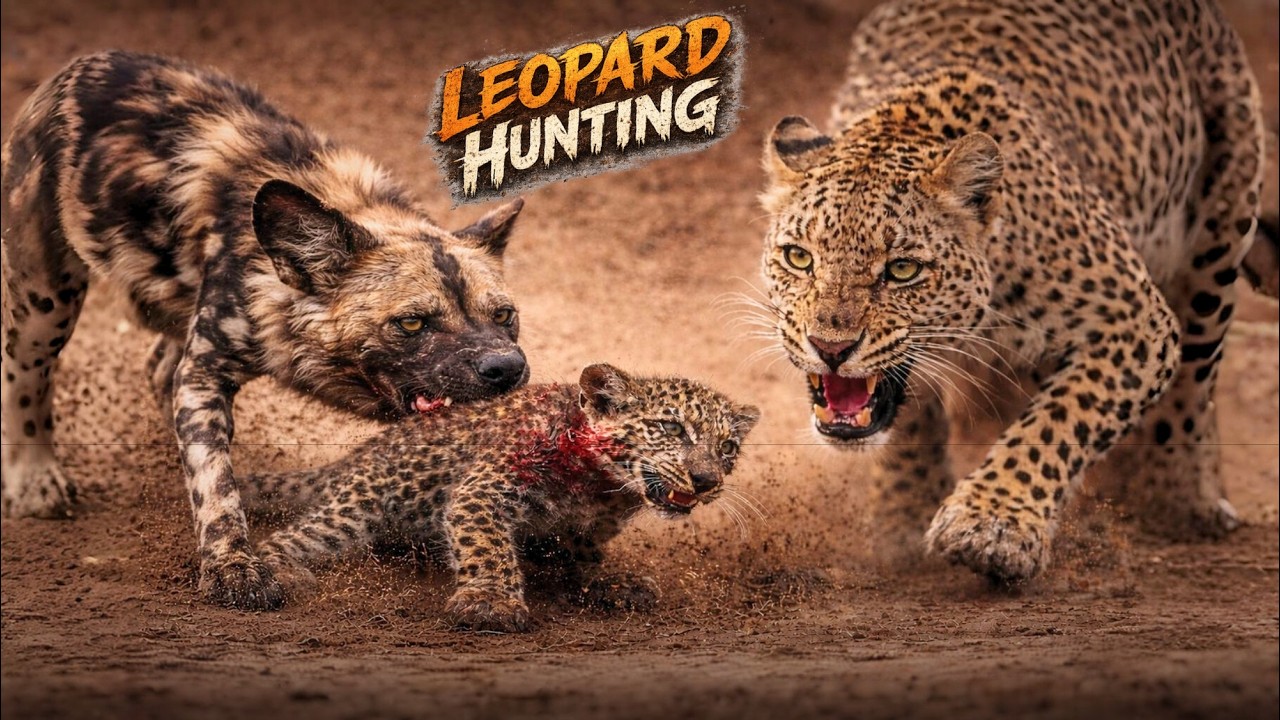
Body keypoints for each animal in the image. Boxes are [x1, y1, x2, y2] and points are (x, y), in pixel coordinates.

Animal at [1, 51, 530, 610]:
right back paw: (34, 480)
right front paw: (232, 567)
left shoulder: (199, 367)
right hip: (46, 303)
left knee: (159, 369)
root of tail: (81, 65)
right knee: (25, 374)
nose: (506, 368)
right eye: (411, 323)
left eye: (504, 316)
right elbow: (215, 485)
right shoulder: (204, 374)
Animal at [241, 364, 761, 632]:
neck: (599, 487)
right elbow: (488, 547)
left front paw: (605, 582)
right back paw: (281, 569)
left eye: (727, 448)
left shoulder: (589, 526)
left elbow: (585, 555)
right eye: (670, 428)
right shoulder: (484, 489)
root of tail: (358, 453)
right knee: (294, 536)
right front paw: (491, 602)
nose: (706, 479)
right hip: (361, 503)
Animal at [756, 0, 1274, 584]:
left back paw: (1181, 500)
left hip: (1222, 229)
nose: (831, 348)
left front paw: (992, 523)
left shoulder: (1135, 318)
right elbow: (911, 418)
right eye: (800, 258)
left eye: (903, 270)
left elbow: (1060, 419)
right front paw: (902, 517)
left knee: (1193, 381)